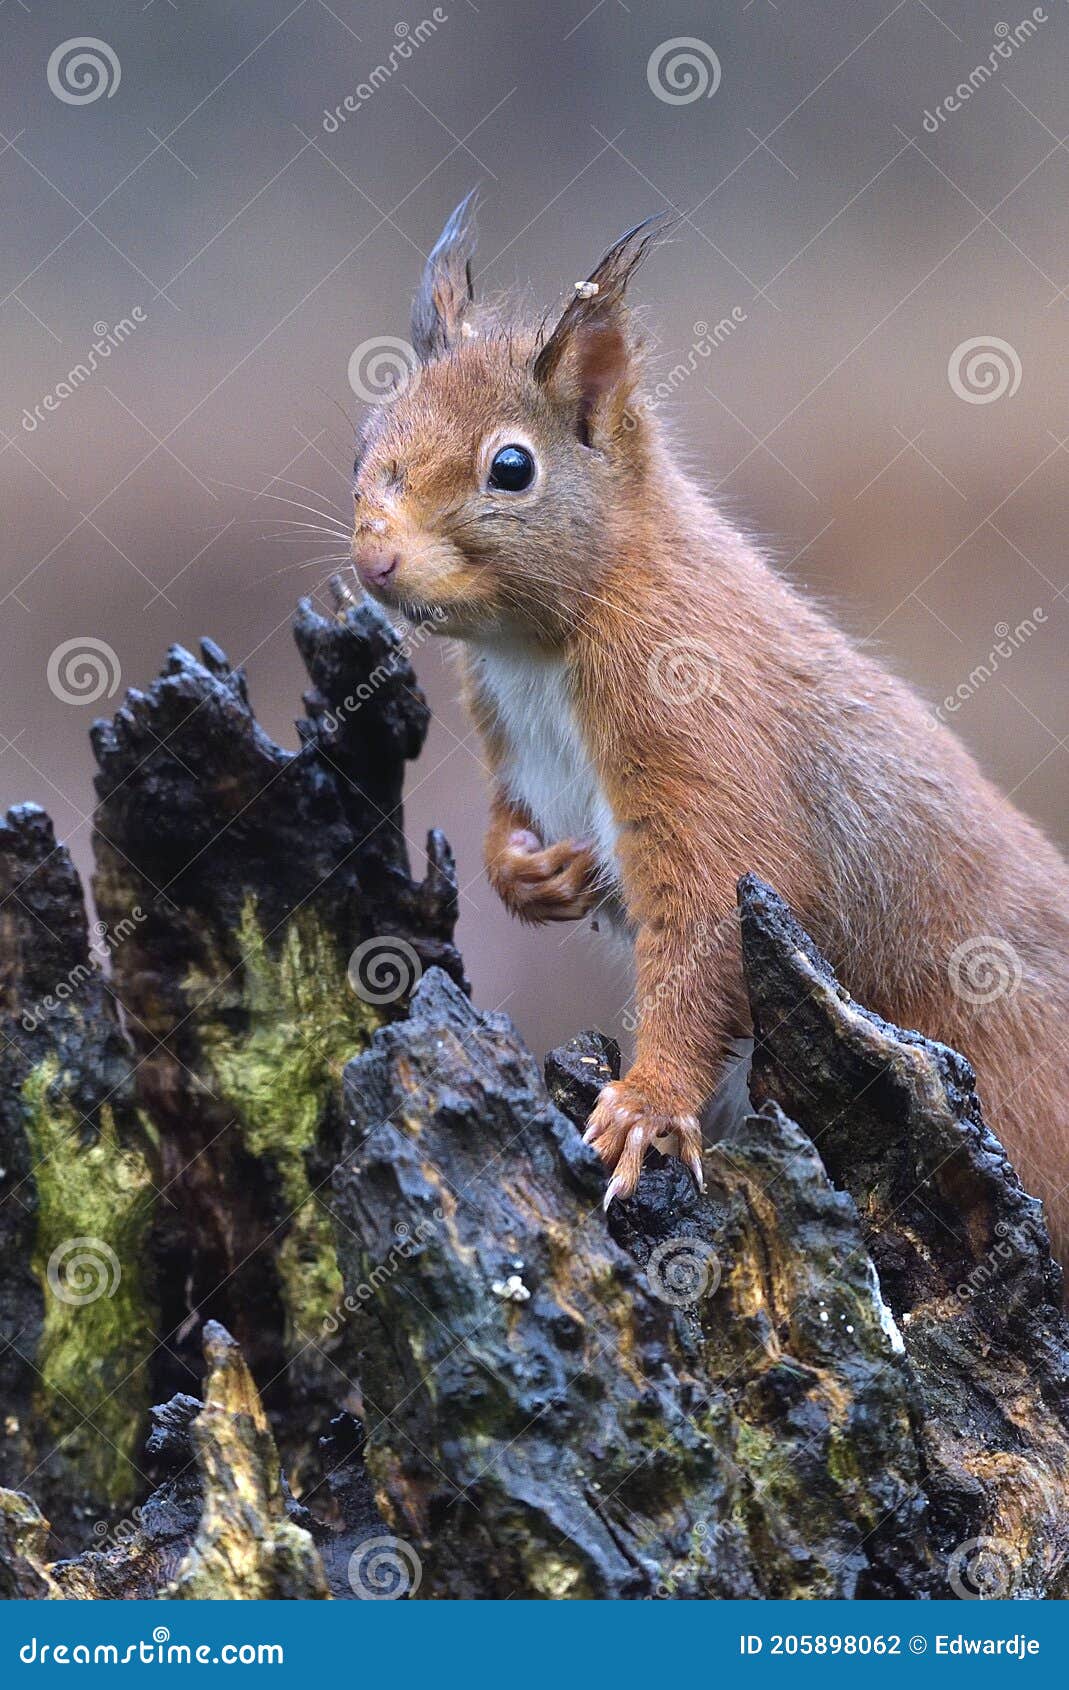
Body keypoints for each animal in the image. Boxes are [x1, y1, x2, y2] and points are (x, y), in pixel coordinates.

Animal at [351, 193, 1069, 1267]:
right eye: (368, 432)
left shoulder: (698, 720)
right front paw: (530, 874)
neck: (539, 643)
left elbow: (707, 917)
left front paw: (645, 1107)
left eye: (510, 468)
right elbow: (511, 827)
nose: (373, 560)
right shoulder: (512, 741)